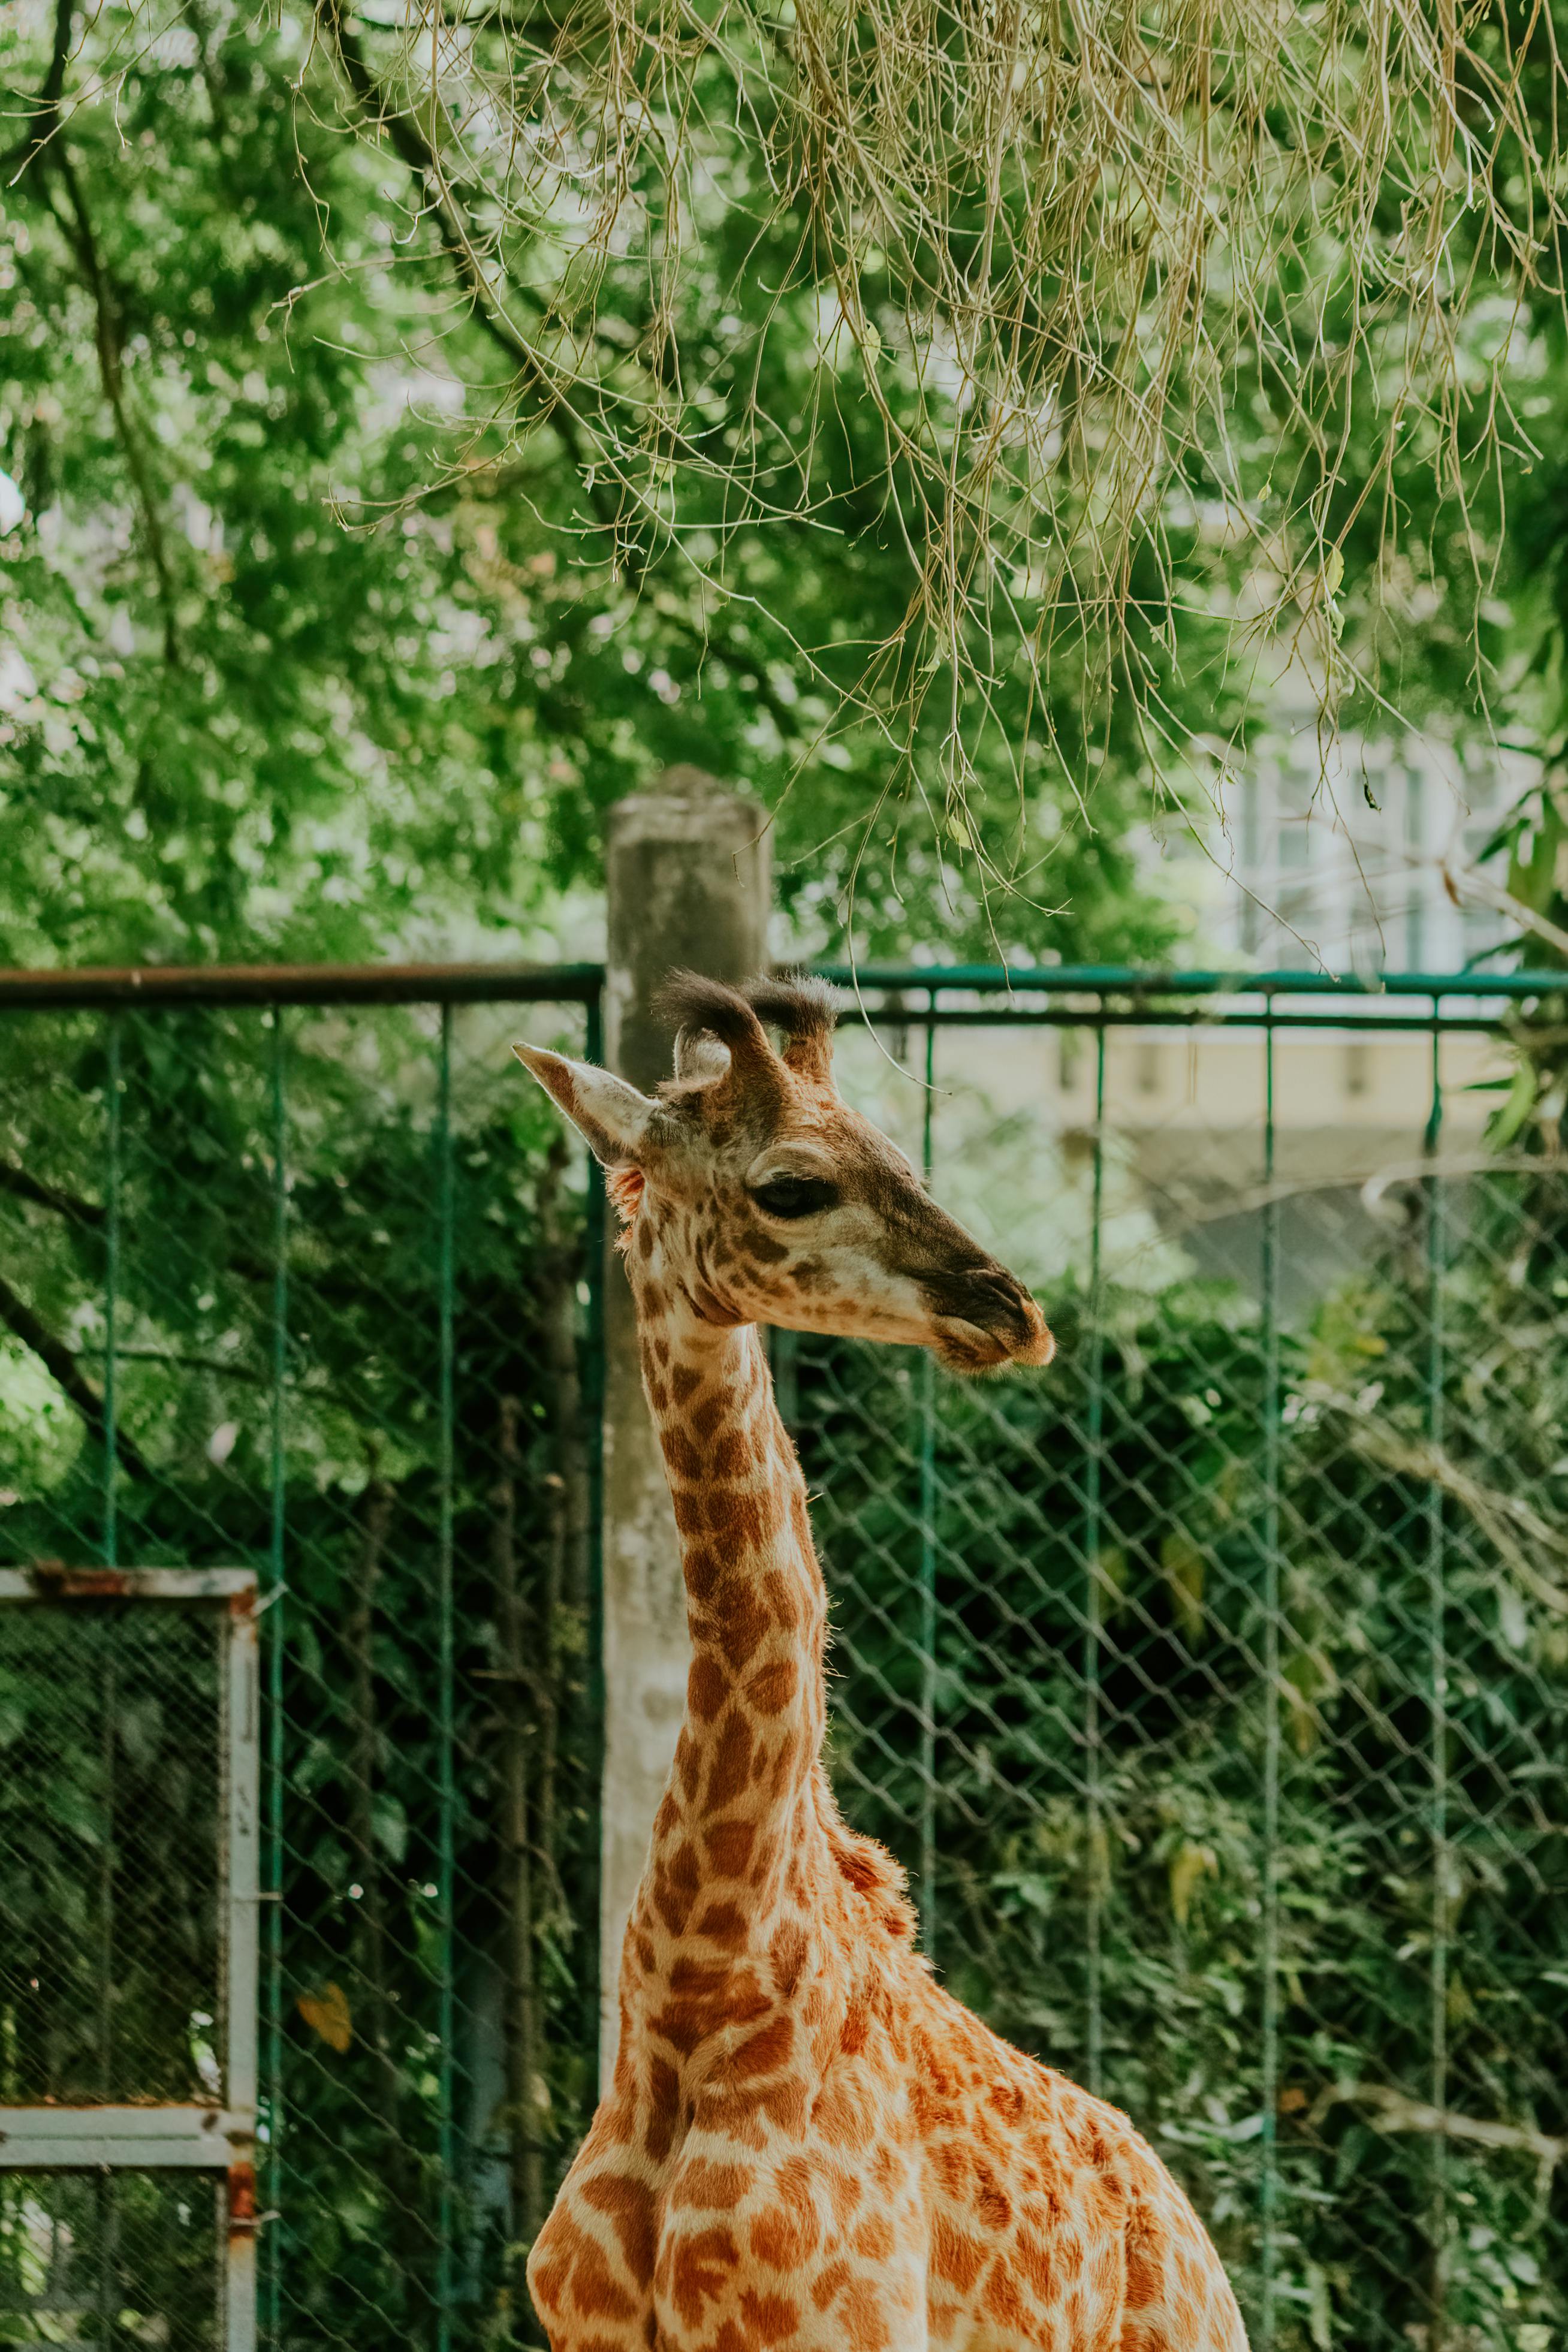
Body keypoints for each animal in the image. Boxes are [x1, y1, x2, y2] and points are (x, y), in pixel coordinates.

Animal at [514, 971, 1248, 2352]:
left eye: (903, 1154)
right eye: (792, 1185)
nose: (1012, 1312)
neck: (704, 1982)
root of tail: (1189, 2233)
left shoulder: (837, 2326)